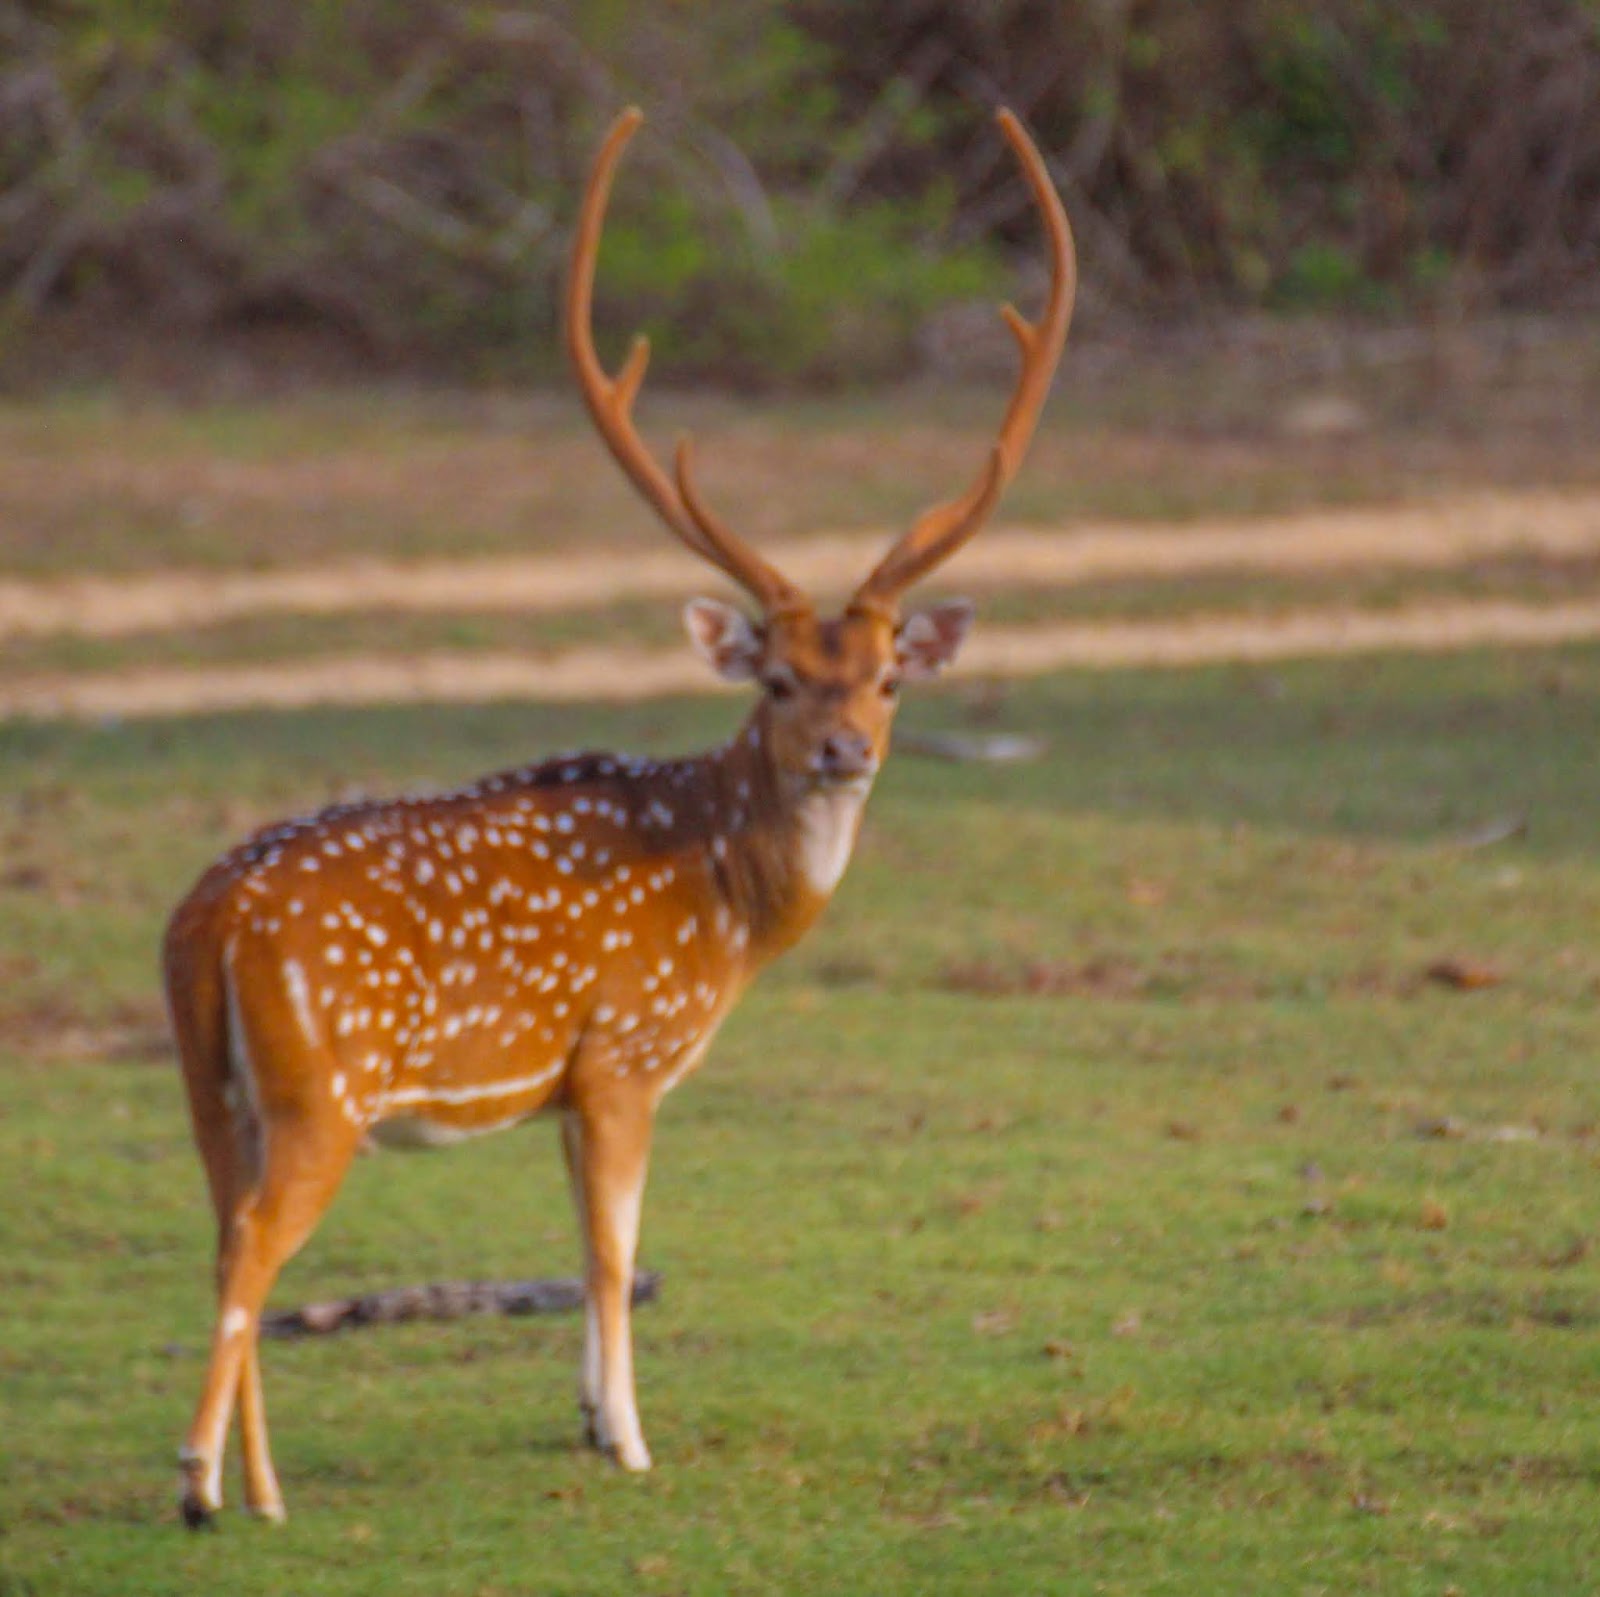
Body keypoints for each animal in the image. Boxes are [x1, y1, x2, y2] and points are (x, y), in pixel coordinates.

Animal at [164, 103, 1074, 1527]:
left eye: (886, 675)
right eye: (774, 675)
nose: (843, 752)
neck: (734, 914)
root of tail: (205, 917)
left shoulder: (569, 1083)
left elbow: (591, 1239)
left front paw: (592, 1419)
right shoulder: (626, 1051)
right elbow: (610, 1247)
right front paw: (633, 1440)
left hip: (216, 1086)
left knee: (222, 1234)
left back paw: (263, 1488)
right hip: (325, 1084)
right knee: (252, 1244)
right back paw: (202, 1483)